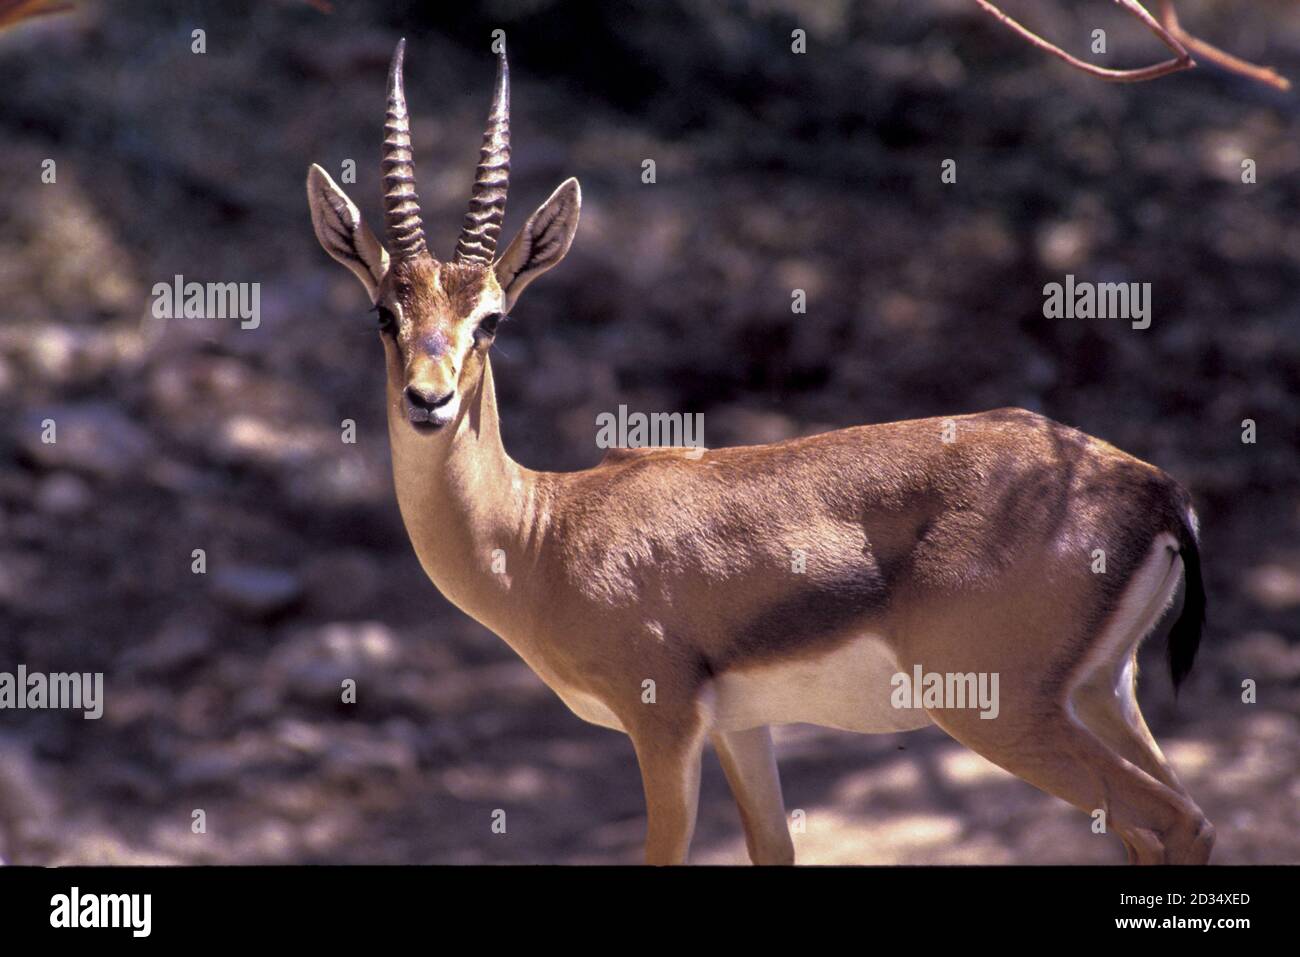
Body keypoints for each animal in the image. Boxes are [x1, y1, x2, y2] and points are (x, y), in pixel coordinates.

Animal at [306, 38, 1213, 865]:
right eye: (384, 312)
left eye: (490, 319)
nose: (429, 400)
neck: (544, 531)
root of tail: (1151, 488)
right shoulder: (743, 729)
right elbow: (774, 848)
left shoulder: (664, 724)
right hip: (1104, 694)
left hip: (1005, 709)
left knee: (1178, 821)